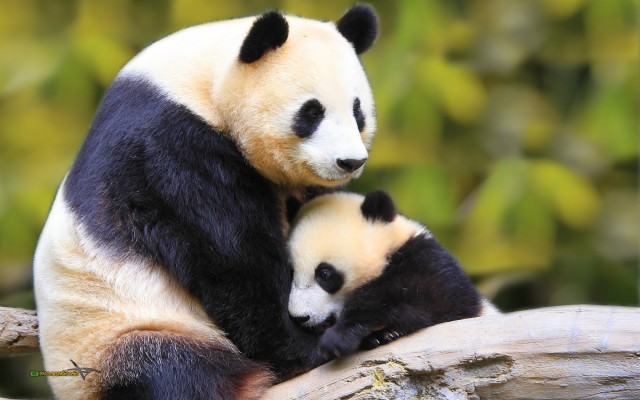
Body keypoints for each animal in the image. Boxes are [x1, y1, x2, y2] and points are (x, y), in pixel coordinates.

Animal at [33, 5, 378, 400]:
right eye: (311, 112)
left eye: (357, 111)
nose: (350, 162)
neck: (202, 82)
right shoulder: (170, 147)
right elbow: (234, 259)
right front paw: (310, 345)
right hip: (115, 333)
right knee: (168, 368)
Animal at [287, 190, 499, 359]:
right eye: (292, 272)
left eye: (324, 274)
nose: (300, 317)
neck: (390, 248)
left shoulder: (430, 264)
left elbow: (427, 300)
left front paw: (338, 338)